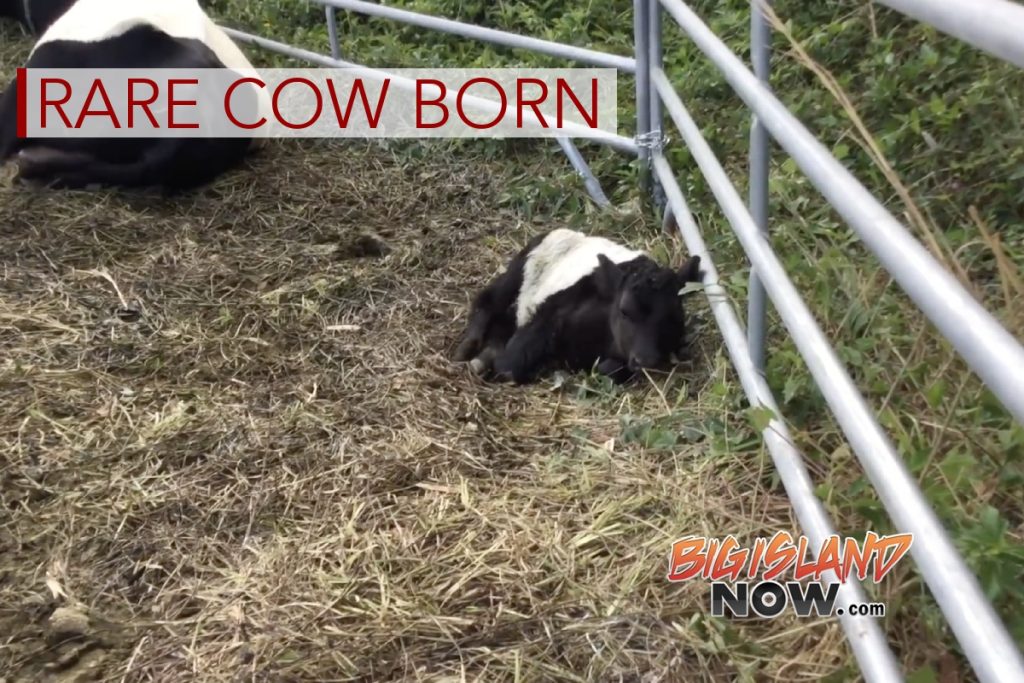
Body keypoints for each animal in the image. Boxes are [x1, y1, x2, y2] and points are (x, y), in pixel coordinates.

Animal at [454, 228, 705, 385]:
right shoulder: (546, 317)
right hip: (516, 272)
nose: (647, 361)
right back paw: (467, 348)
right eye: (625, 310)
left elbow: (609, 370)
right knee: (488, 300)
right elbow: (508, 366)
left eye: (673, 317)